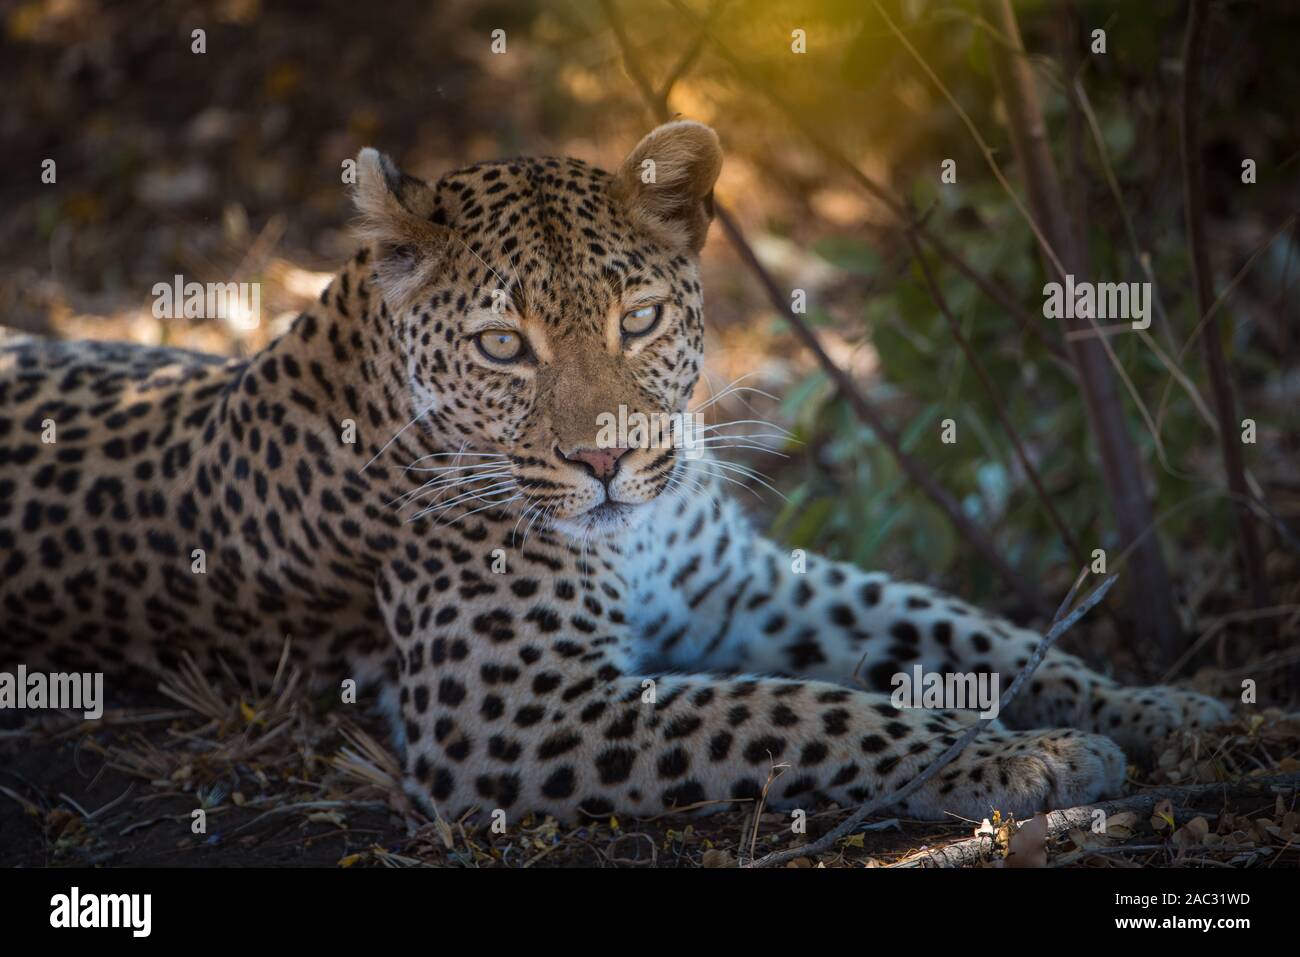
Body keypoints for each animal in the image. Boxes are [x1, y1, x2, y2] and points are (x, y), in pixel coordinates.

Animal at [0, 121, 1229, 827]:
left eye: (638, 320)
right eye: (504, 346)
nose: (604, 460)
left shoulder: (744, 588)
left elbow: (973, 634)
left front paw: (1166, 709)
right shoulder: (518, 711)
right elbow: (801, 712)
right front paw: (1027, 756)